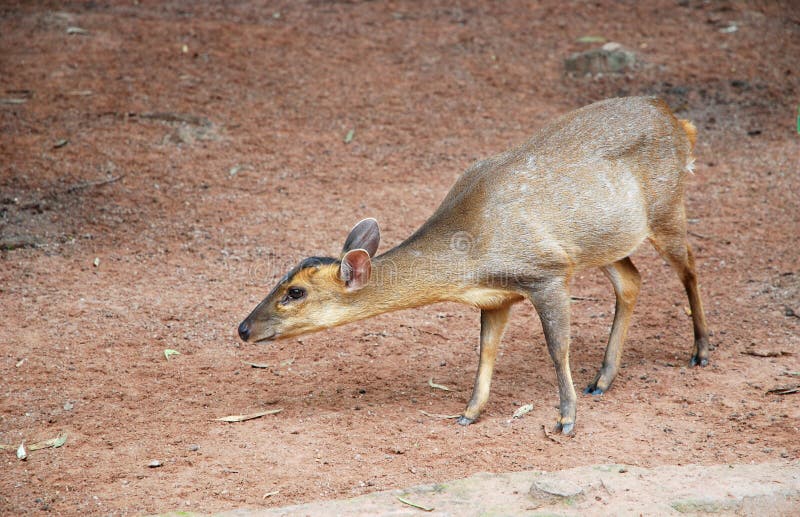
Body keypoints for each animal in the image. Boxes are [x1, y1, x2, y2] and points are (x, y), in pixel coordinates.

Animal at [237, 96, 711, 434]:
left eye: (295, 292)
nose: (243, 328)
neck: (473, 257)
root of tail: (681, 124)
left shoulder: (547, 272)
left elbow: (558, 348)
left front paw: (566, 420)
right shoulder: (497, 298)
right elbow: (485, 352)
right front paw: (469, 413)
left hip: (667, 208)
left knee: (689, 266)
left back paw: (700, 351)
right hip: (605, 242)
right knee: (631, 279)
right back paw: (603, 379)